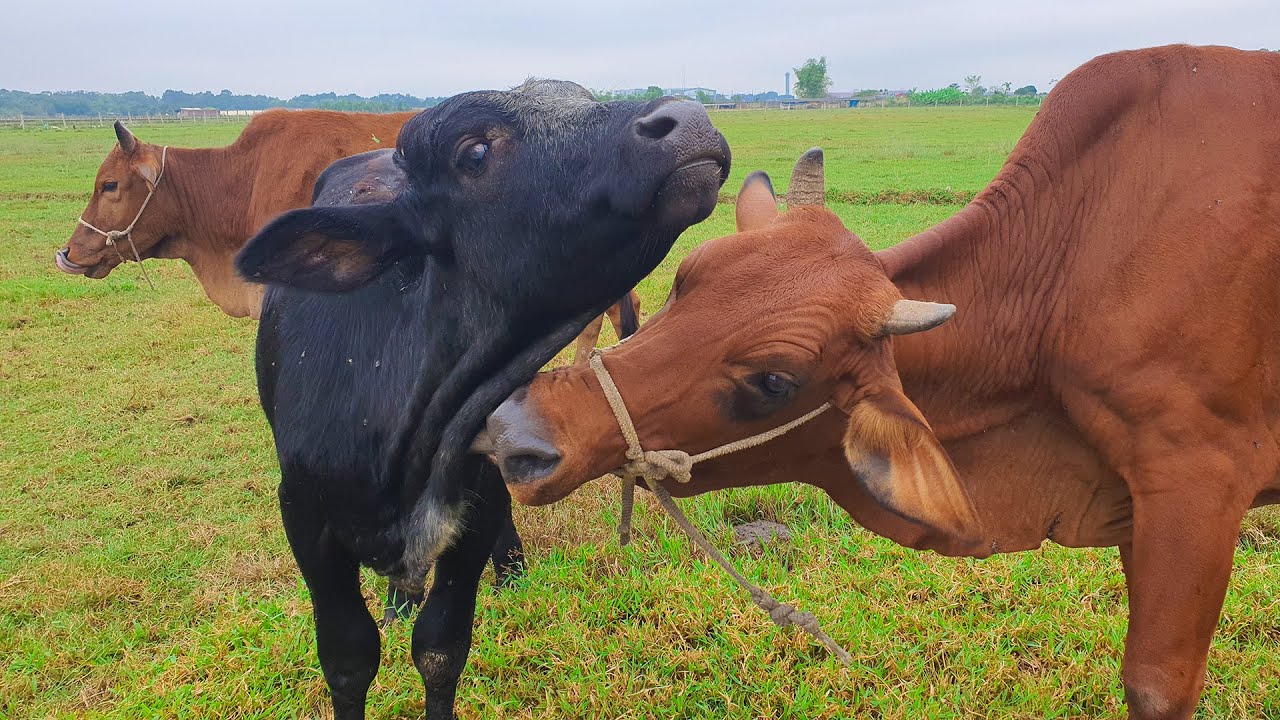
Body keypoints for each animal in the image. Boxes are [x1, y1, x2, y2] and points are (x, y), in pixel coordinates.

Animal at [236, 80, 729, 719]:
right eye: (474, 151)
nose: (689, 118)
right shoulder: (305, 519)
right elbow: (348, 660)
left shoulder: (476, 501)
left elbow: (441, 647)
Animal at [479, 46, 1280, 719]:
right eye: (686, 278)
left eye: (775, 379)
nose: (522, 430)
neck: (1064, 274)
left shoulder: (1196, 479)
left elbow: (1155, 687)